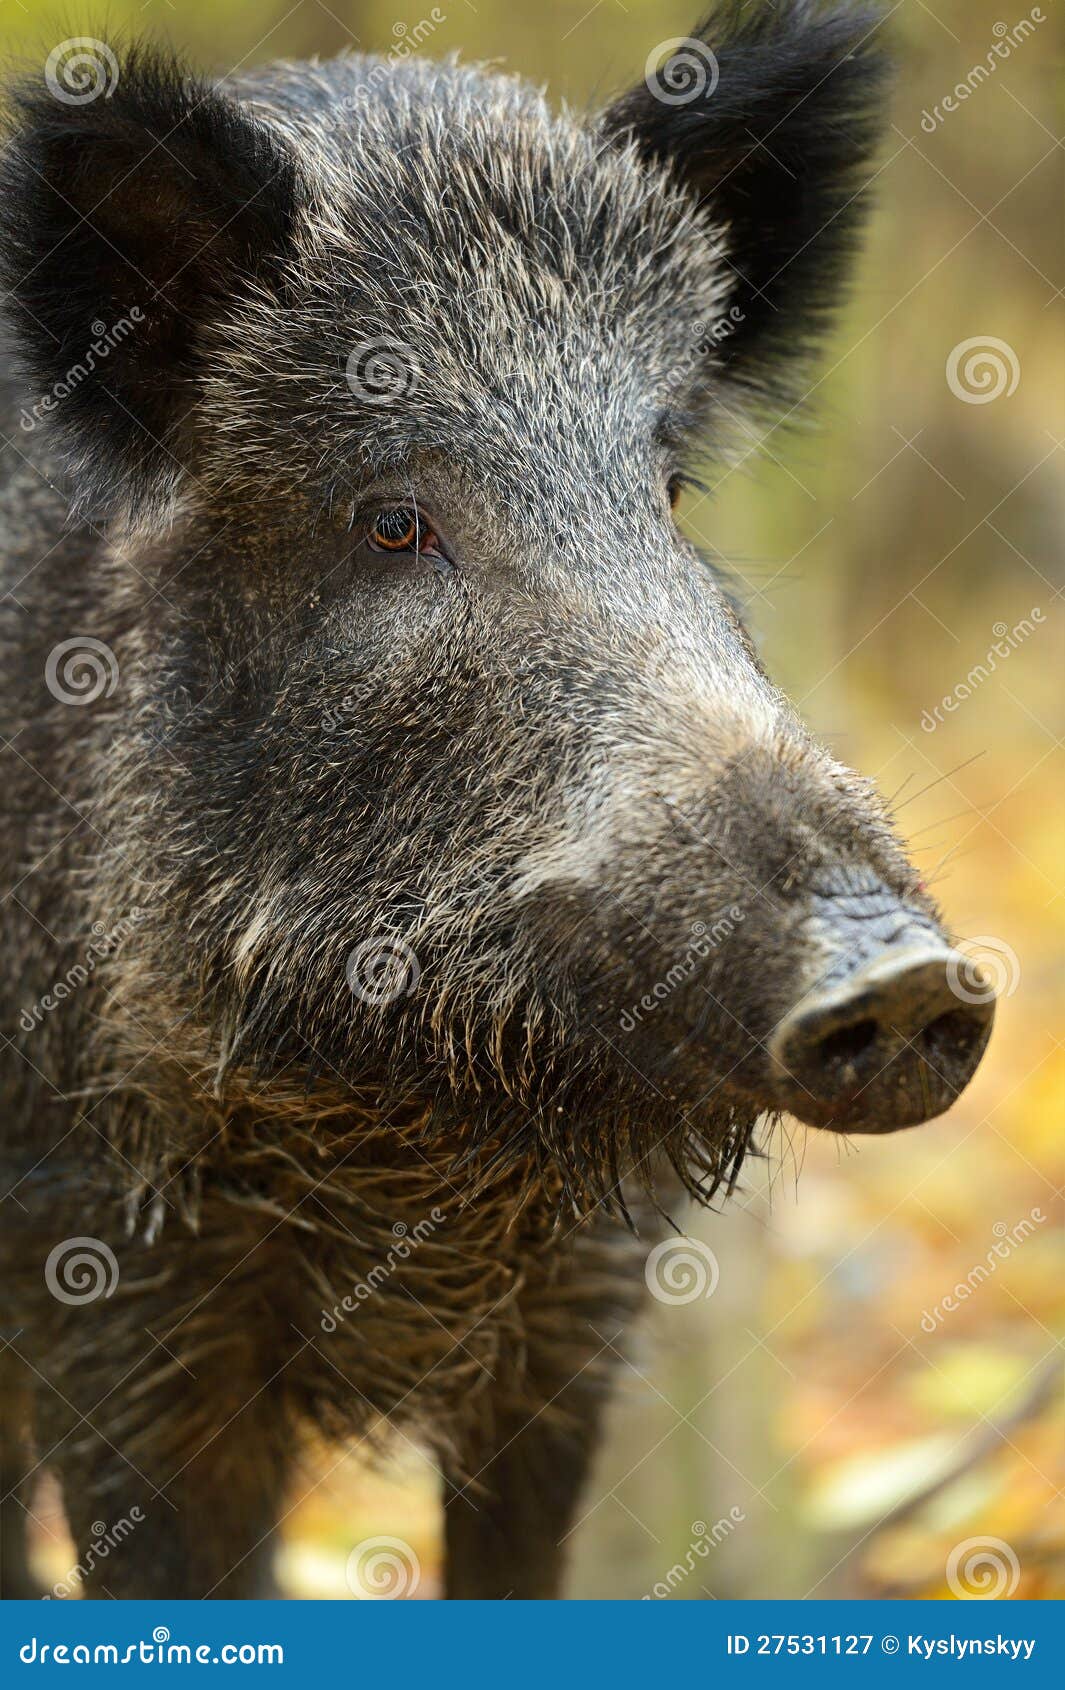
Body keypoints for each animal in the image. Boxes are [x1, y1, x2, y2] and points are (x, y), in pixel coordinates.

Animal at [0, 2, 993, 1599]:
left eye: (671, 487)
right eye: (393, 520)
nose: (900, 975)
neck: (414, 1134)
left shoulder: (578, 1314)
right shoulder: (101, 1261)